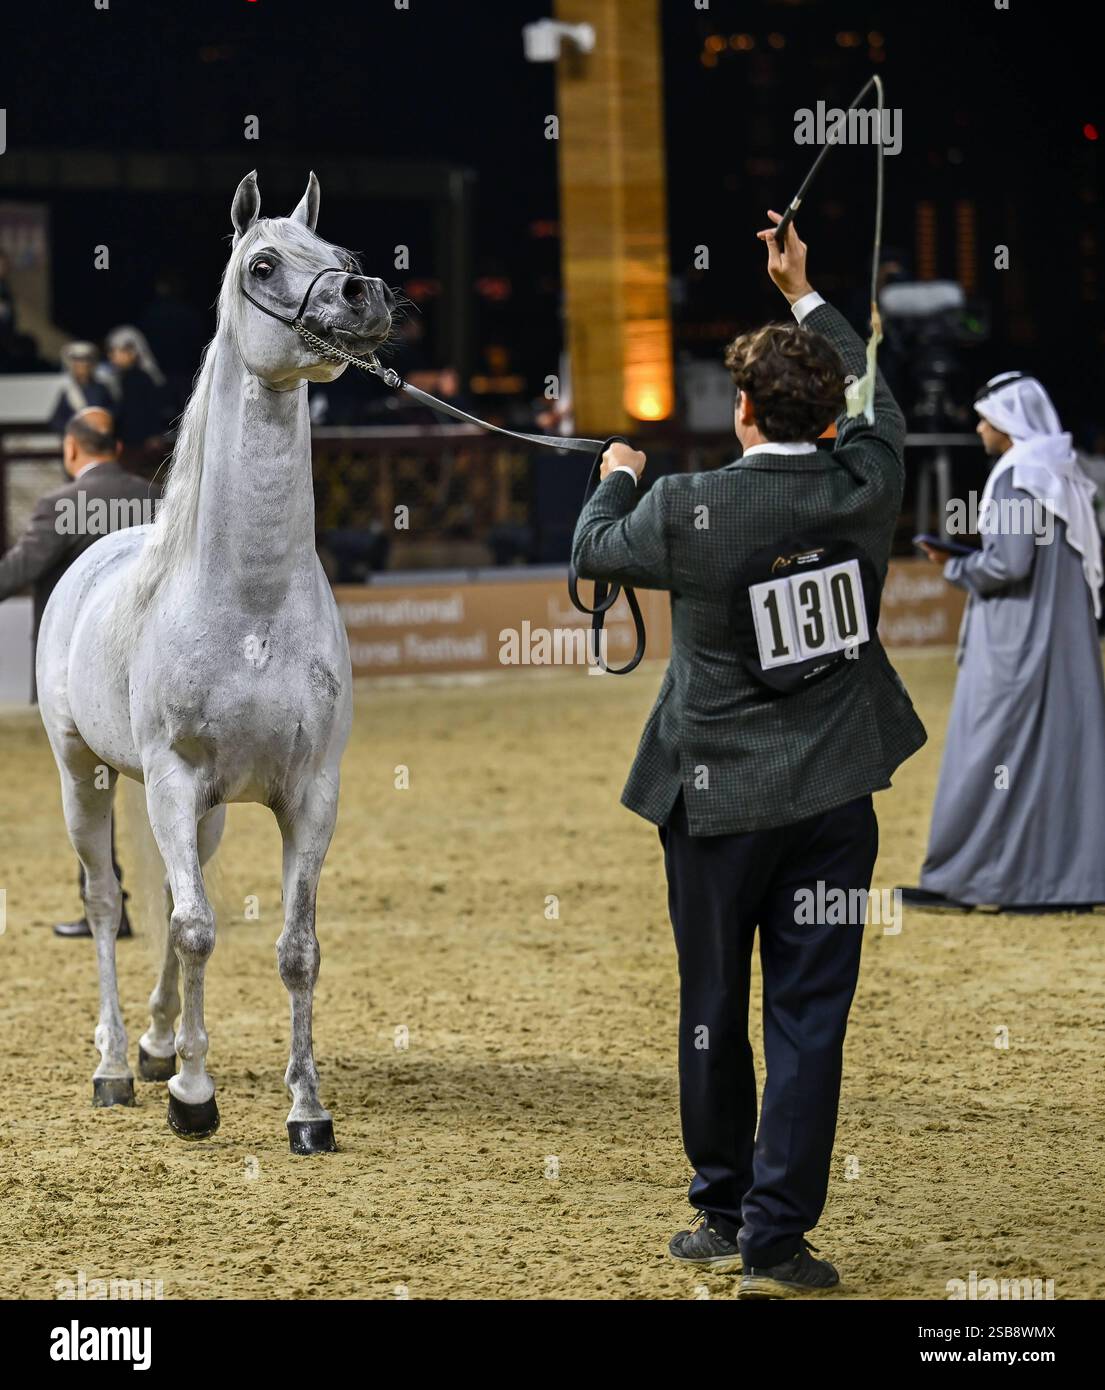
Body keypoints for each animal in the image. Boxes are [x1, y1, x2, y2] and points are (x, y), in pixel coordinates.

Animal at [36, 171, 393, 1153]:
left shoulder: (308, 792)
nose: (364, 295)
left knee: (162, 901)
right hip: (88, 778)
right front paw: (194, 1101)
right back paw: (119, 1067)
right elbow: (198, 931)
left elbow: (295, 948)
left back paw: (161, 1043)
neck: (252, 609)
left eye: (340, 255)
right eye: (262, 263)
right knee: (110, 905)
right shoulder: (170, 777)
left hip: (208, 813)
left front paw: (306, 1112)